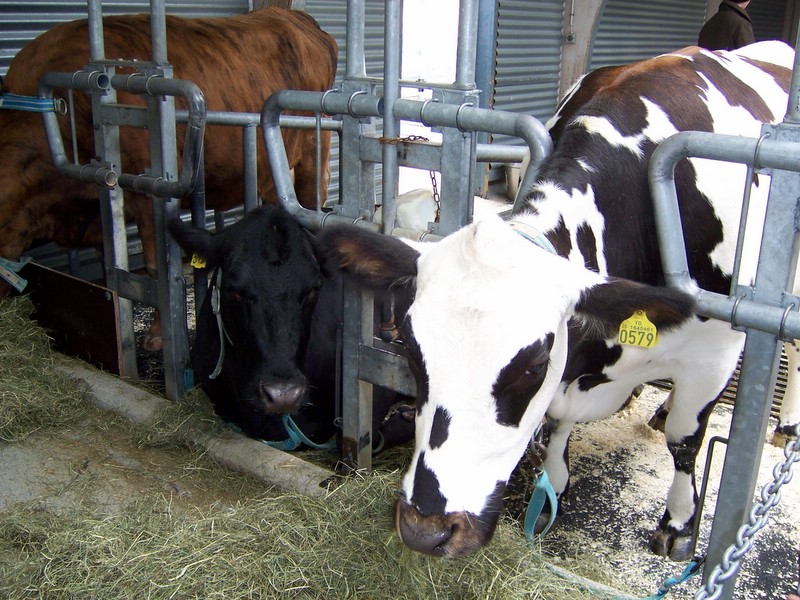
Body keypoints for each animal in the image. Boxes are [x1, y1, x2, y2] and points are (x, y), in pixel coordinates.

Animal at [0, 7, 337, 350]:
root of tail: (291, 15)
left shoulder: (149, 190)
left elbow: (155, 269)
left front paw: (158, 334)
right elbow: (111, 264)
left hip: (312, 155)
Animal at [316, 41, 795, 559]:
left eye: (533, 367)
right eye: (409, 347)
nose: (427, 529)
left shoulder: (716, 350)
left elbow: (684, 440)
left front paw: (679, 524)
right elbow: (558, 423)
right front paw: (555, 484)